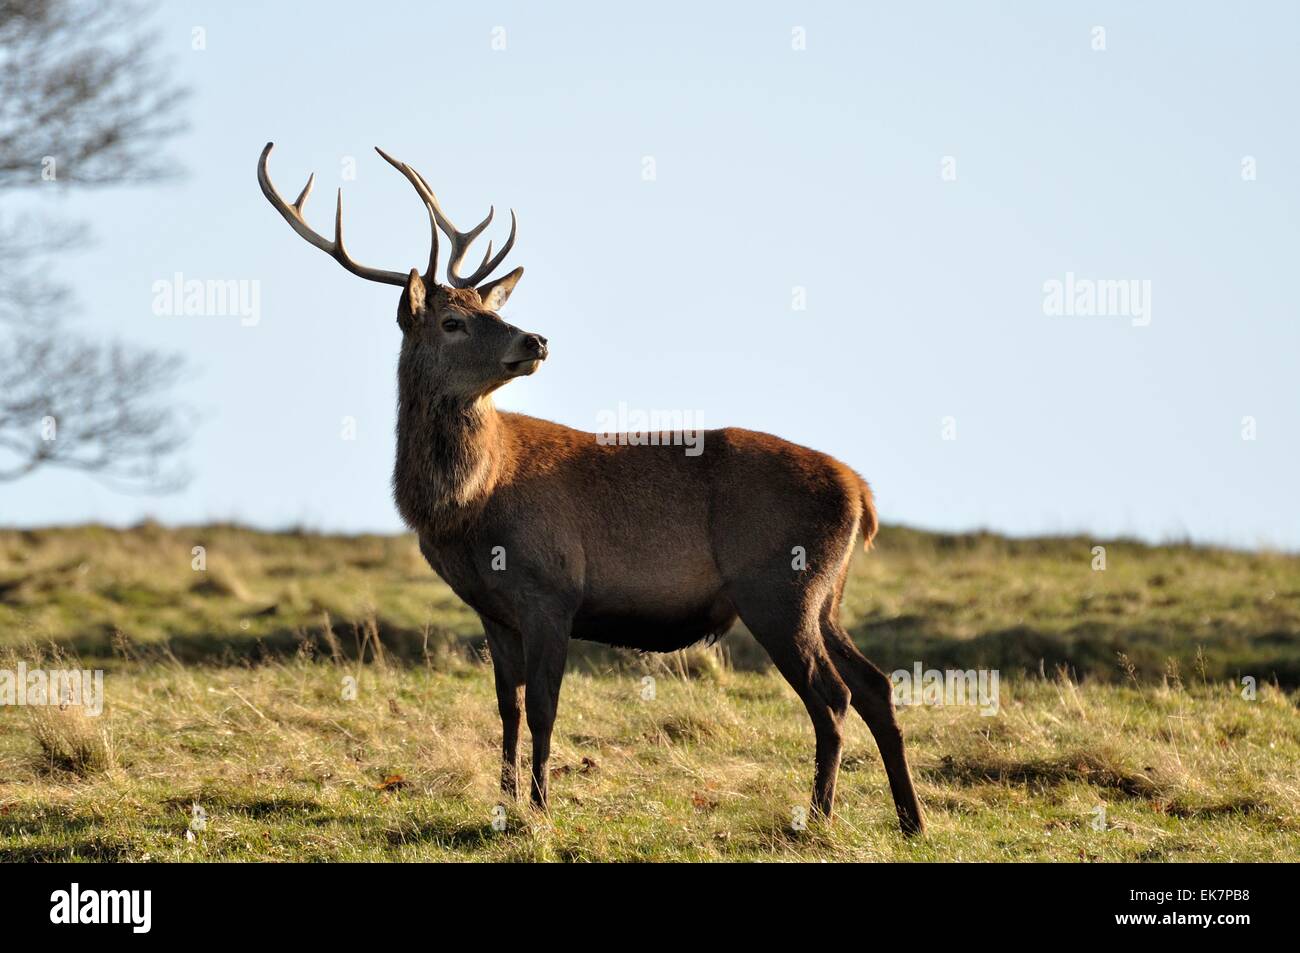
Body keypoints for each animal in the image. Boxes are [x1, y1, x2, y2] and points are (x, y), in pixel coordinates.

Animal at [257, 142, 925, 835]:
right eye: (452, 320)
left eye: (492, 310)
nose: (535, 339)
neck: (466, 507)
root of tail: (862, 495)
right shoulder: (493, 608)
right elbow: (508, 707)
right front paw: (503, 801)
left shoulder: (553, 589)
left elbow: (544, 708)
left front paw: (540, 807)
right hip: (824, 596)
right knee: (876, 685)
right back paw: (910, 819)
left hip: (779, 588)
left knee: (833, 696)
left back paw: (817, 817)